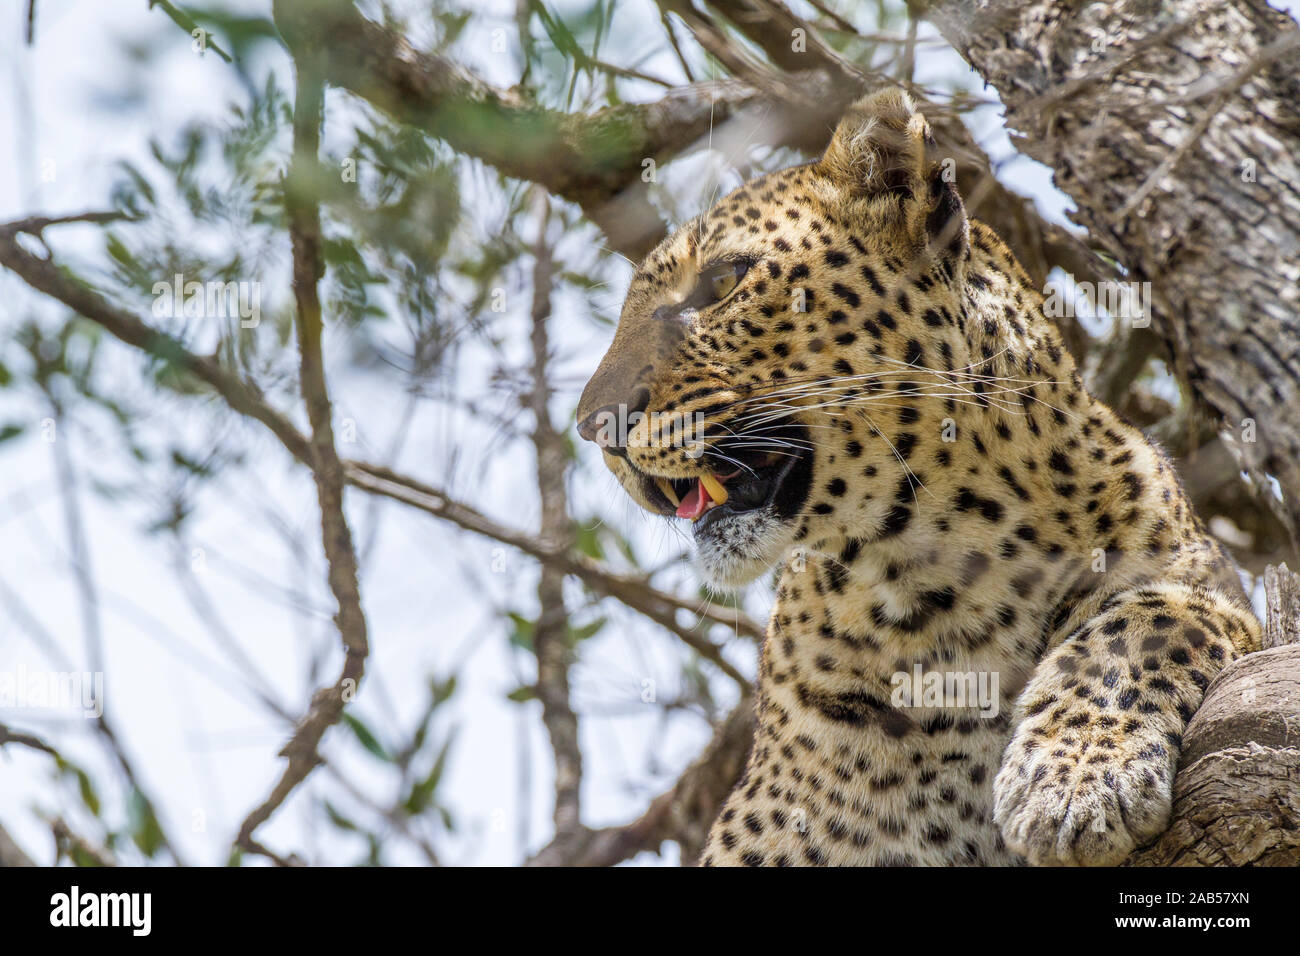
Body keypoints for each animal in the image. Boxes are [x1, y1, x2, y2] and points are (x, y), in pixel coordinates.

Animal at [575, 89, 1260, 866]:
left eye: (723, 282)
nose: (593, 425)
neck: (935, 575)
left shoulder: (1210, 585)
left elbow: (1146, 618)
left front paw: (1072, 781)